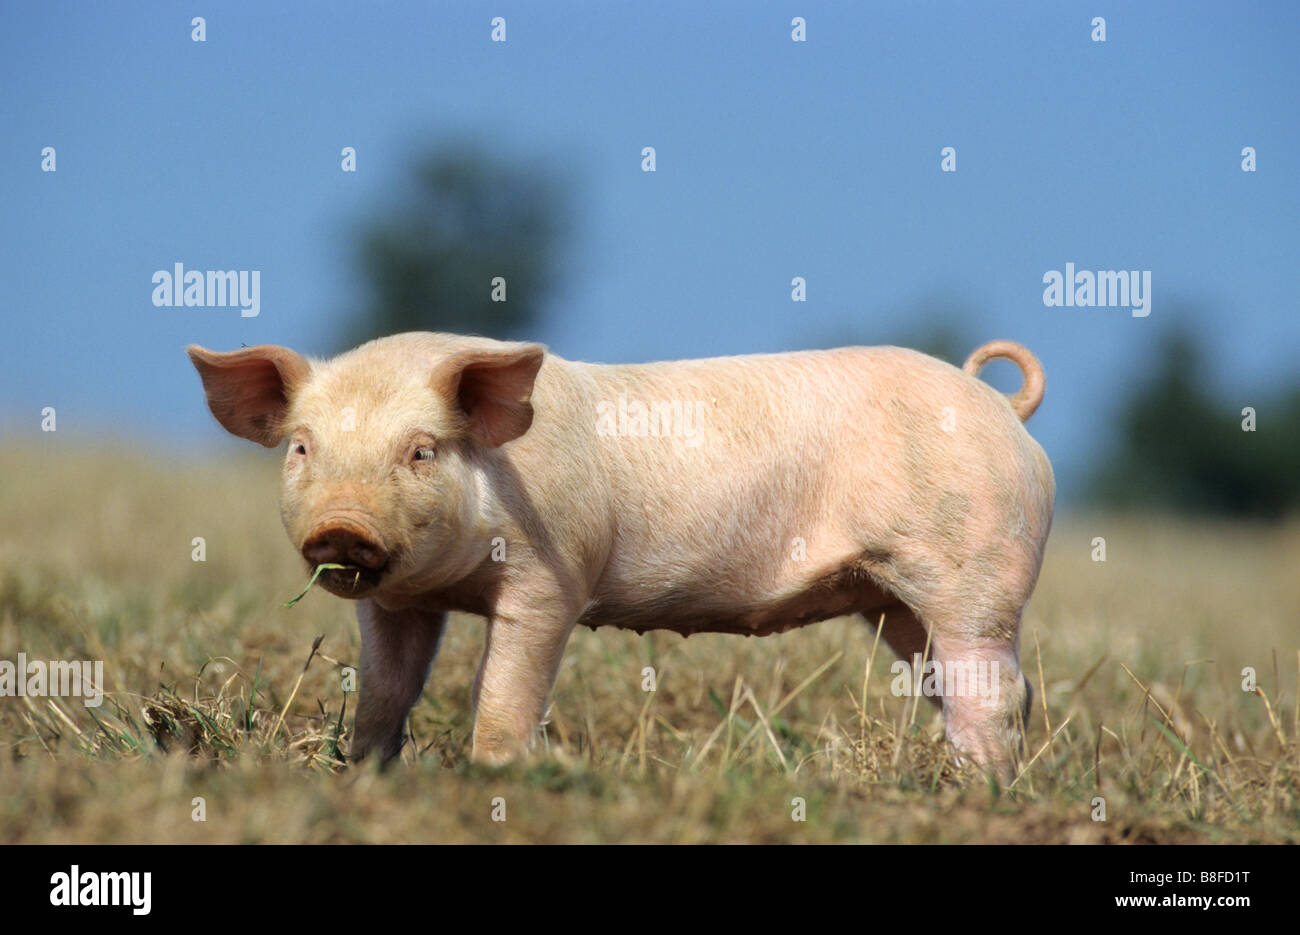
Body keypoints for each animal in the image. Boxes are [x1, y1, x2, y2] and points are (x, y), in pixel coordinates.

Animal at [187, 332, 1054, 781]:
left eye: (421, 451)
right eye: (303, 447)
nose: (342, 526)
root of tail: (1000, 404)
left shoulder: (553, 571)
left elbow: (505, 687)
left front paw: (497, 775)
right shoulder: (397, 600)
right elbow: (386, 689)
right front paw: (364, 770)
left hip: (974, 568)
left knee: (990, 686)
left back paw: (982, 793)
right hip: (895, 600)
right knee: (978, 686)